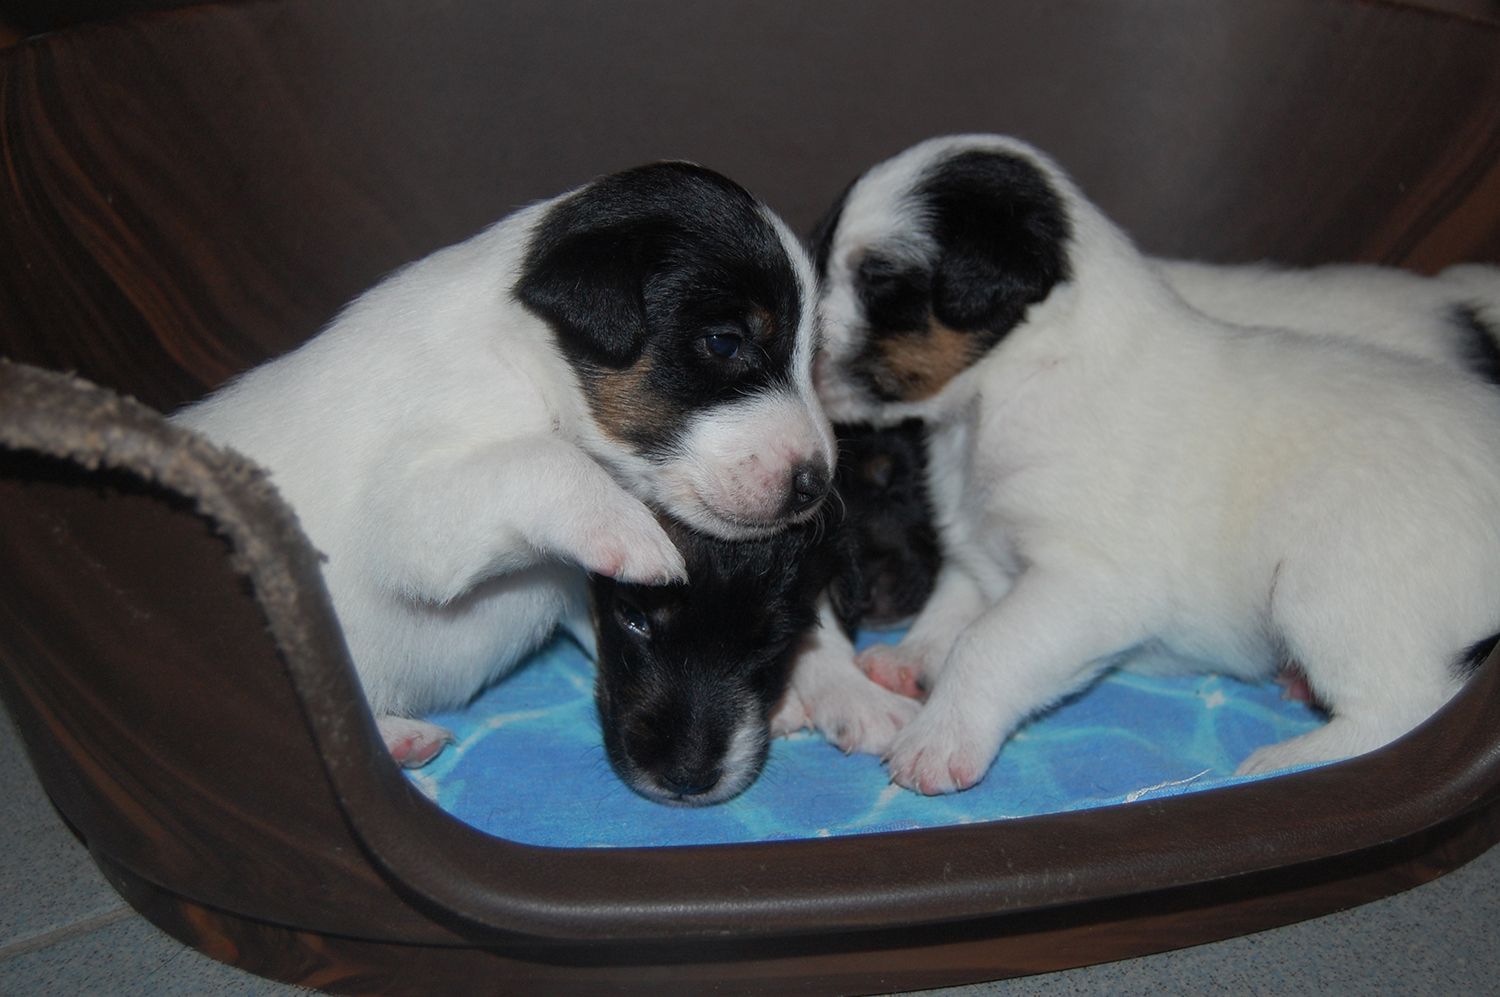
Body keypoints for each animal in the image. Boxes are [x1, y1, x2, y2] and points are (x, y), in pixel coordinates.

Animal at [816, 136, 1500, 797]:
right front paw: (909, 659)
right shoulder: (980, 549)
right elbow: (952, 608)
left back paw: (1287, 763)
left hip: (1333, 584)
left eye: (879, 277)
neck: (1012, 383)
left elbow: (987, 643)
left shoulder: (1088, 580)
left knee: (1405, 707)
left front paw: (938, 740)